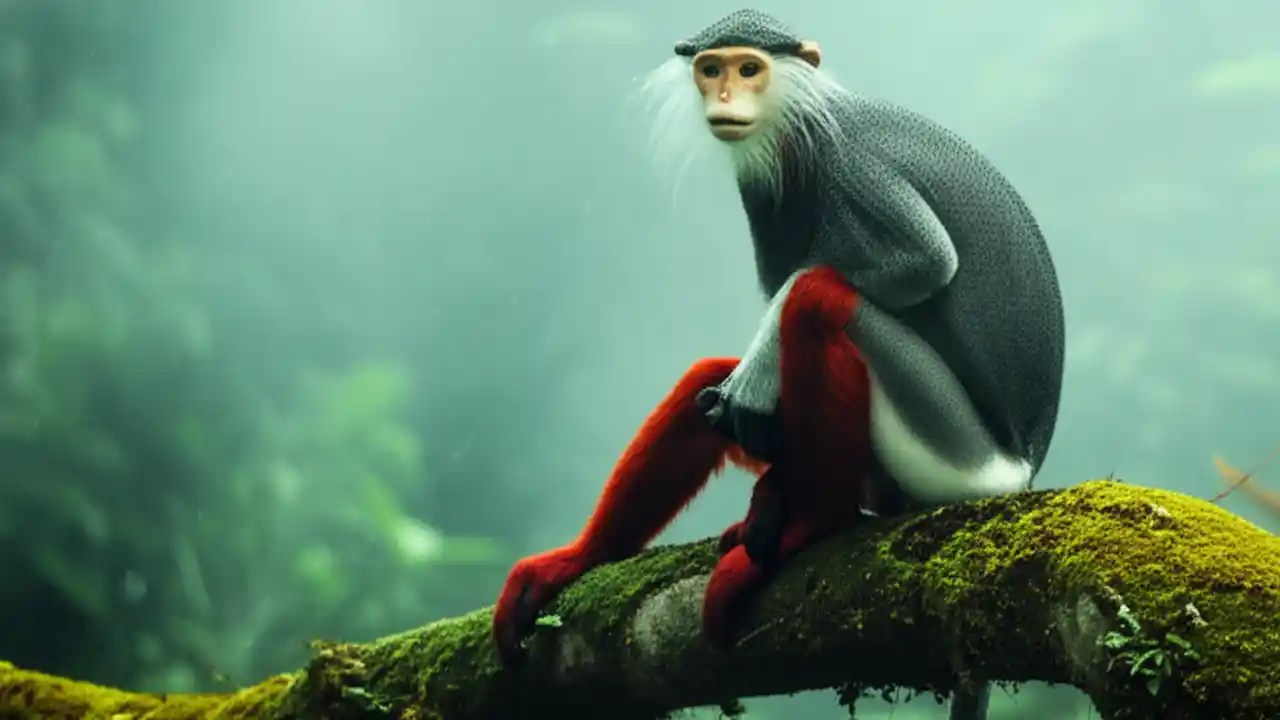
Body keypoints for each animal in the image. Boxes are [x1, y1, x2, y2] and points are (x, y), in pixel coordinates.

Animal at [492, 10, 1064, 719]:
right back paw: (584, 558)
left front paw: (764, 372)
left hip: (953, 451)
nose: (724, 96)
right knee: (716, 376)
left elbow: (921, 264)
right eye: (711, 68)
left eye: (748, 68)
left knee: (819, 301)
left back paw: (812, 523)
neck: (801, 132)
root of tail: (1023, 470)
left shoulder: (854, 170)